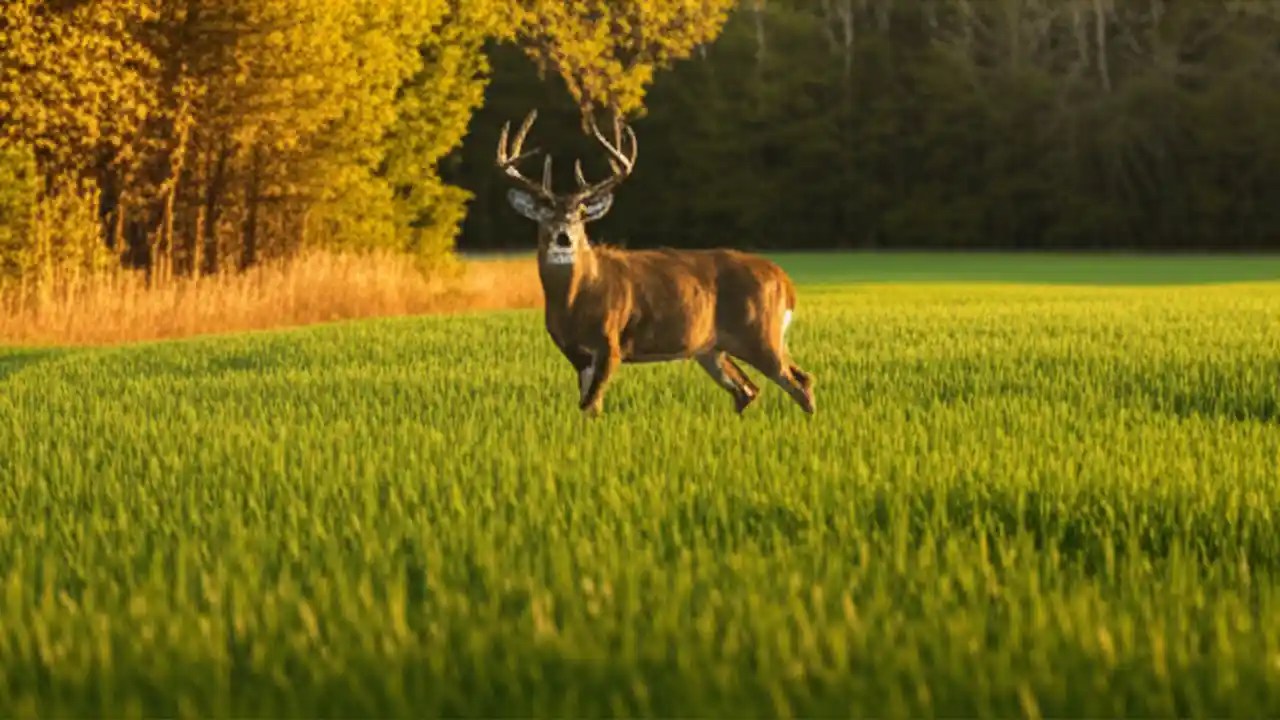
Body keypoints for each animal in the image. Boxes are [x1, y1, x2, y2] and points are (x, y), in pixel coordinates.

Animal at [495, 109, 815, 418]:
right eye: (544, 215)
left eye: (582, 214)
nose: (564, 237)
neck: (575, 299)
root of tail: (786, 282)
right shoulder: (577, 354)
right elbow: (589, 406)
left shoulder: (611, 343)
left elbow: (590, 404)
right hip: (712, 348)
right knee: (749, 390)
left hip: (761, 333)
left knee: (799, 382)